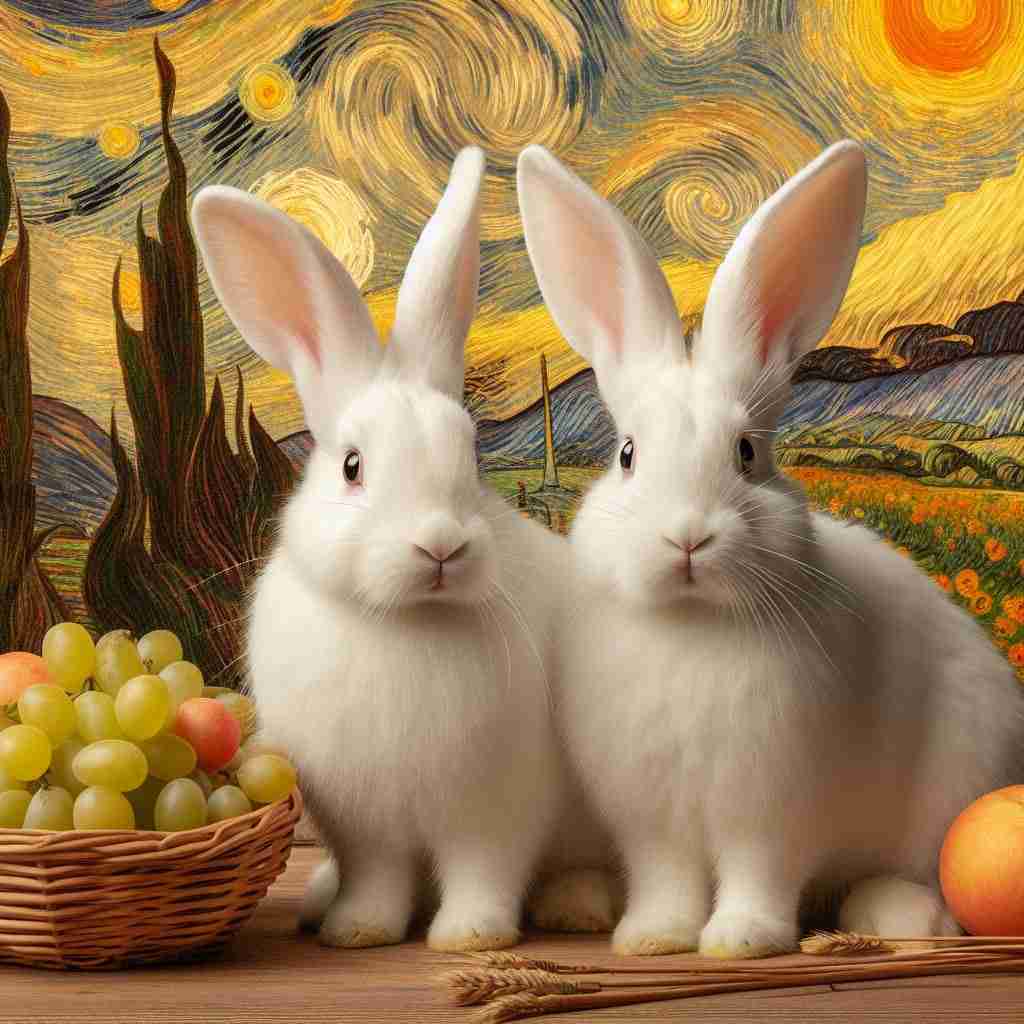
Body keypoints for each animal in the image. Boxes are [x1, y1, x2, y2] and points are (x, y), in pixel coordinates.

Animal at [190, 148, 571, 952]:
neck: (405, 622)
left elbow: (484, 872)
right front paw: (357, 931)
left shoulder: (495, 808)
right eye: (352, 466)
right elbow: (377, 878)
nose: (439, 545)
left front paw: (470, 937)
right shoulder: (362, 823)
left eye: (473, 459)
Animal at [515, 140, 1024, 958]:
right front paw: (654, 938)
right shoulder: (652, 820)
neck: (692, 626)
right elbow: (666, 879)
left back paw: (894, 917)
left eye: (748, 452)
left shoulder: (773, 812)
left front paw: (740, 940)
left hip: (956, 772)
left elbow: (760, 876)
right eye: (627, 454)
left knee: (923, 875)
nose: (688, 535)